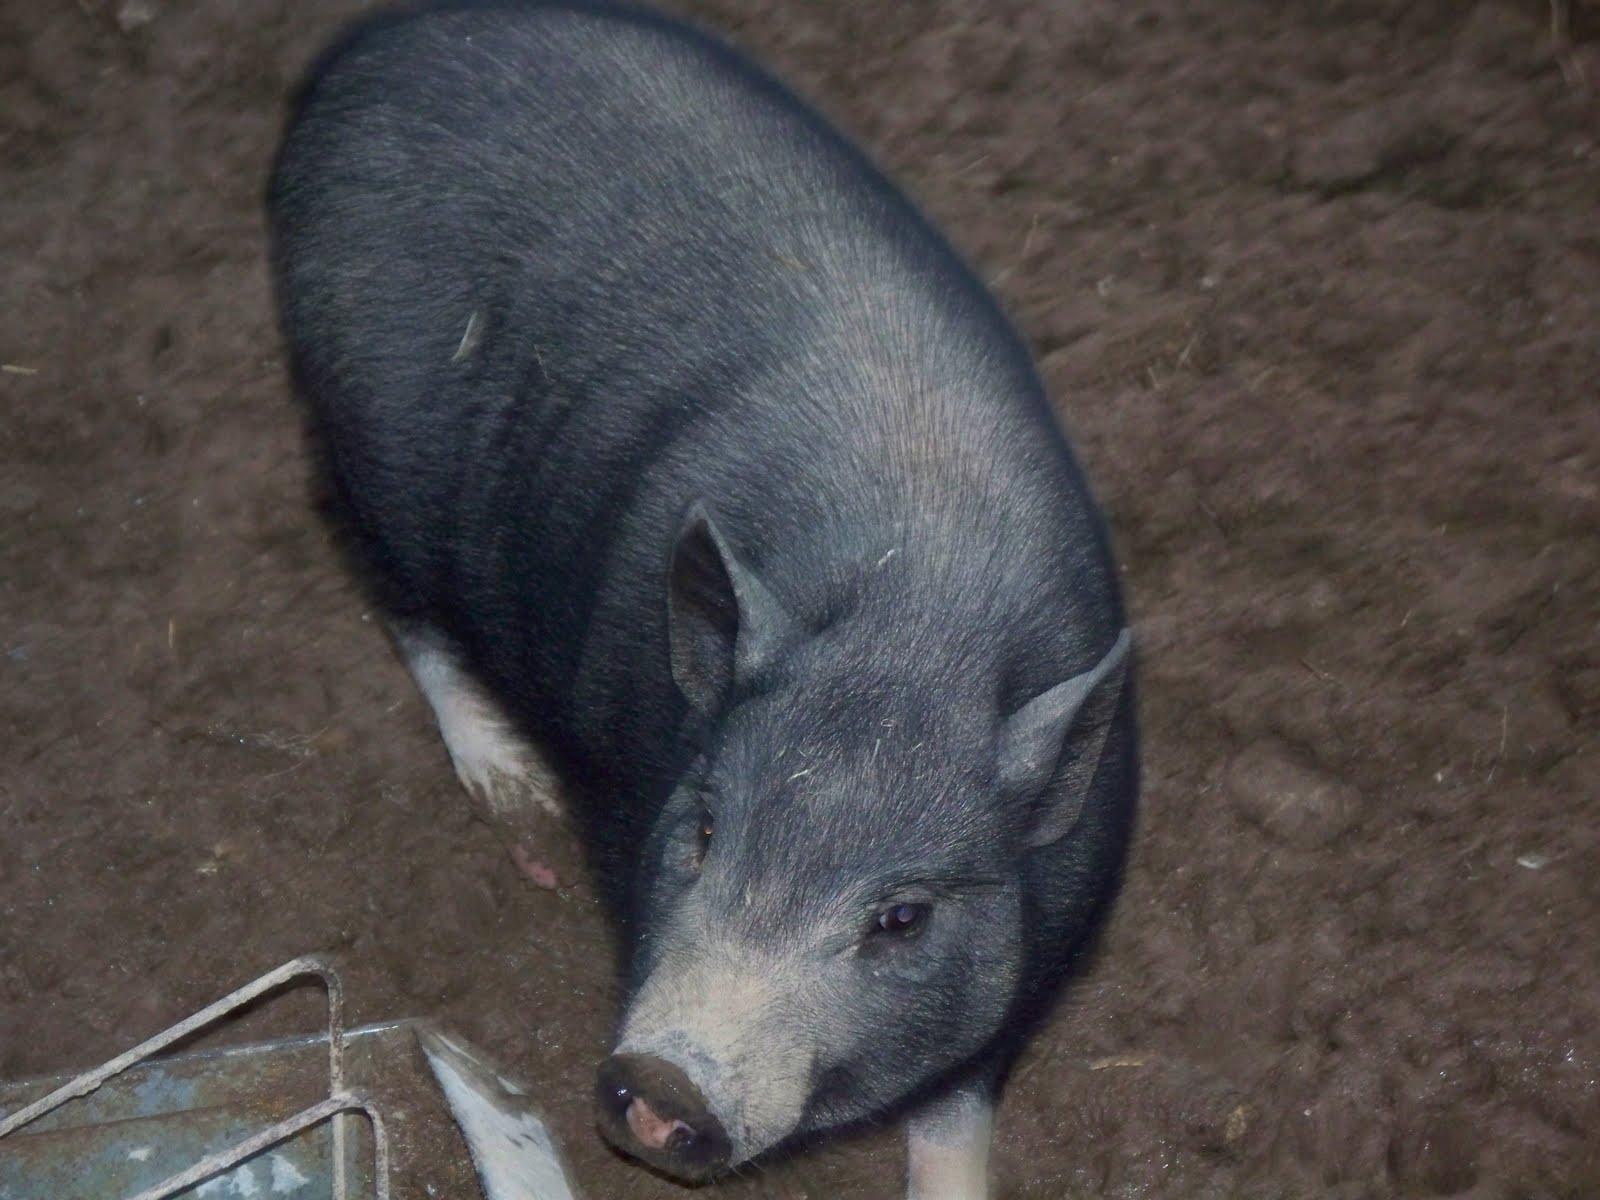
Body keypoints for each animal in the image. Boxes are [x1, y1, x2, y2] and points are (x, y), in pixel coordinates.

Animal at [267, 2, 1137, 1196]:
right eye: (708, 828)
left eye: (902, 917)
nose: (663, 1082)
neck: (913, 624)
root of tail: (362, 48)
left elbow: (958, 1116)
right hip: (357, 442)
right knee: (392, 591)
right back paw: (510, 790)